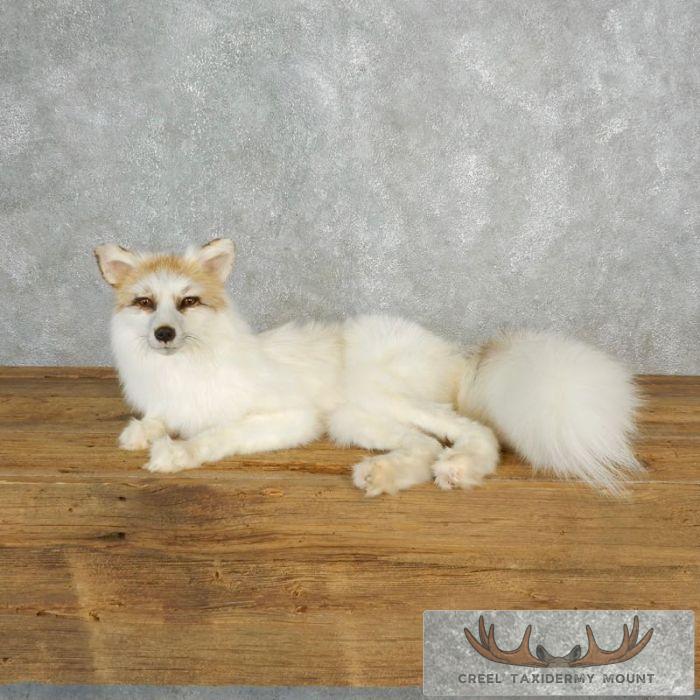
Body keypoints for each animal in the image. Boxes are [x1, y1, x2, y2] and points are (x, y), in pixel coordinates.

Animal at [94, 238, 641, 496]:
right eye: (145, 303)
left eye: (187, 302)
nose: (164, 335)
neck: (187, 369)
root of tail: (459, 359)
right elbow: (157, 419)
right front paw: (141, 433)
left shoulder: (290, 418)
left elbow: (215, 437)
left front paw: (176, 454)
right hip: (353, 418)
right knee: (425, 445)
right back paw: (386, 475)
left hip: (372, 396)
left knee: (477, 432)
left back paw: (458, 469)